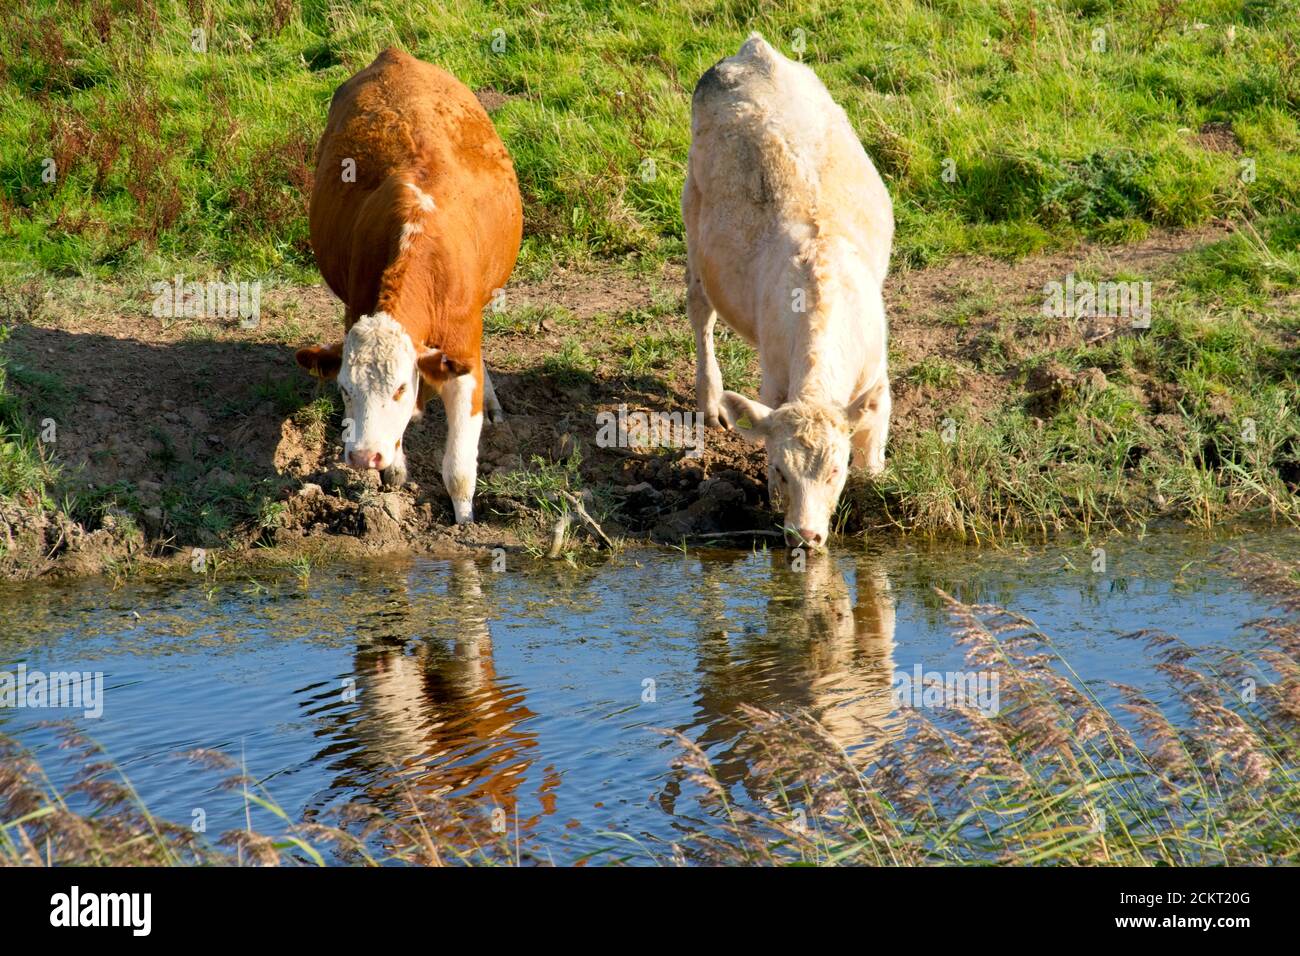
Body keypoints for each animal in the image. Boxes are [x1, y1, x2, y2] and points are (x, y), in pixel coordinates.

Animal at [296, 47, 523, 524]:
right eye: (344, 389)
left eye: (401, 387)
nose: (363, 457)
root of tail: (395, 55)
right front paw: (393, 469)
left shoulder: (462, 354)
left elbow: (459, 468)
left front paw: (464, 523)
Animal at [682, 34, 894, 549]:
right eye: (778, 470)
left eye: (835, 470)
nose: (806, 536)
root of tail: (754, 50)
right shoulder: (774, 382)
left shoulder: (878, 385)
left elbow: (873, 463)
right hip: (692, 216)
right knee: (700, 313)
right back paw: (709, 400)